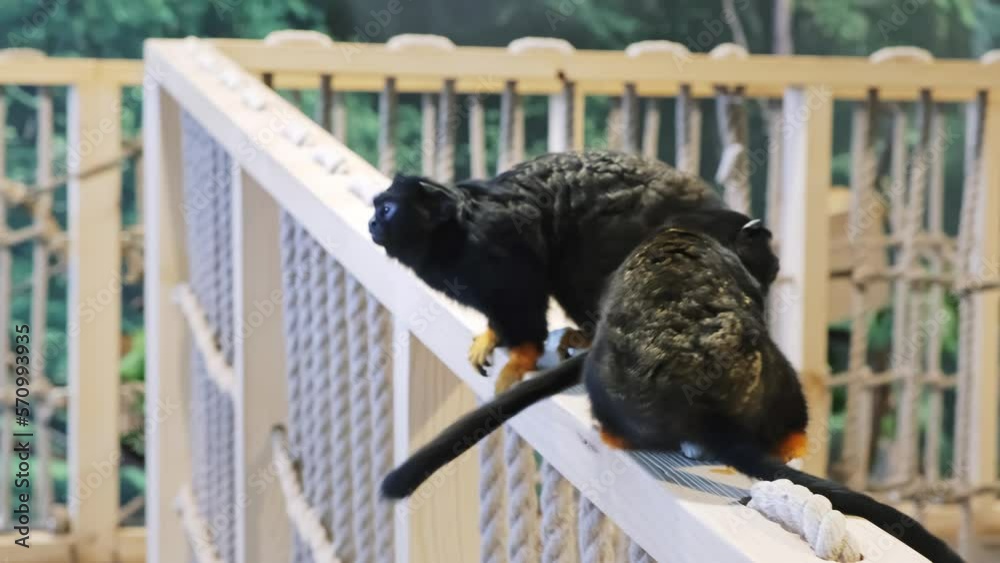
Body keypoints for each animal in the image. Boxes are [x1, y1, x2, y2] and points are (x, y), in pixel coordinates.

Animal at [369, 150, 724, 391]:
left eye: (387, 210)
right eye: (376, 209)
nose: (372, 223)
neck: (451, 235)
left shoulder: (494, 242)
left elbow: (523, 291)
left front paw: (523, 355)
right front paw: (493, 334)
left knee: (576, 273)